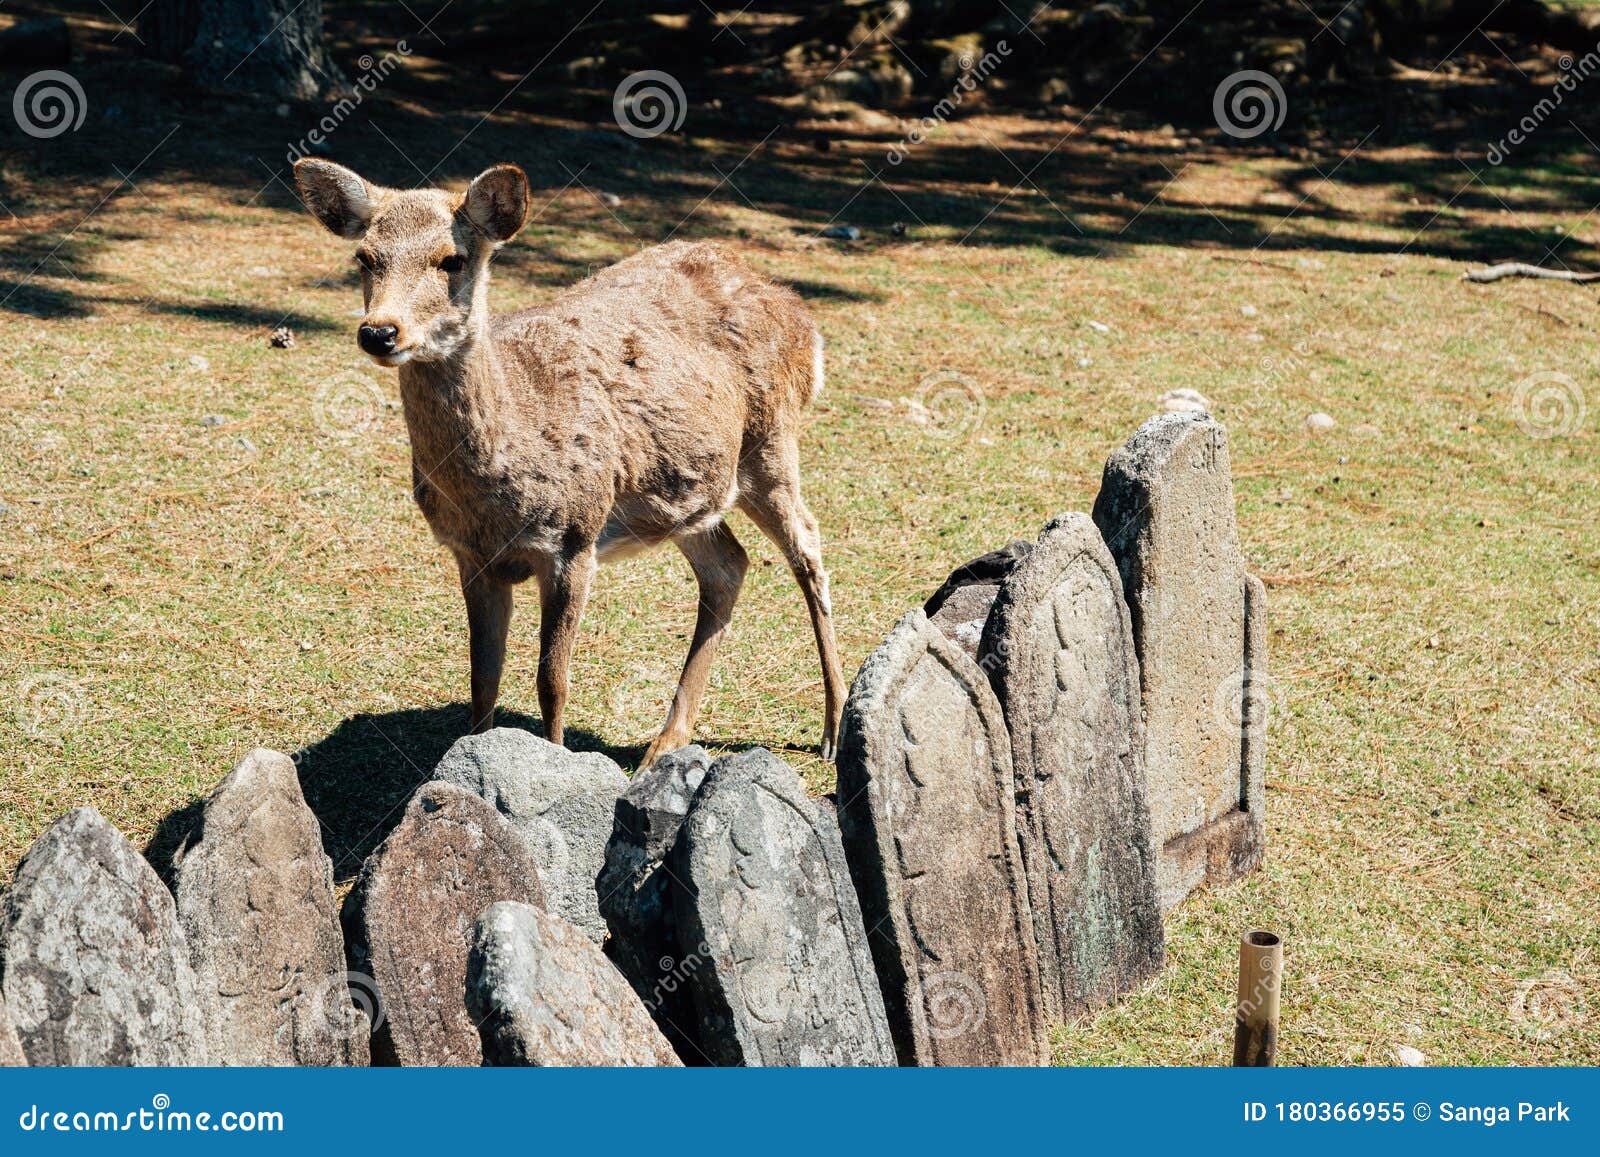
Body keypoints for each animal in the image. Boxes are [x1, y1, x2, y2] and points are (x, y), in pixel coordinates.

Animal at [292, 159, 845, 767]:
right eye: (365, 257)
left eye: (452, 259)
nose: (380, 331)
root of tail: (799, 315)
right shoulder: (471, 555)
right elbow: (482, 677)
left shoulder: (575, 539)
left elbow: (551, 681)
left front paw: (554, 761)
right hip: (686, 493)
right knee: (728, 565)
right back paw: (666, 742)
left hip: (771, 441)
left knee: (808, 546)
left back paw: (832, 727)